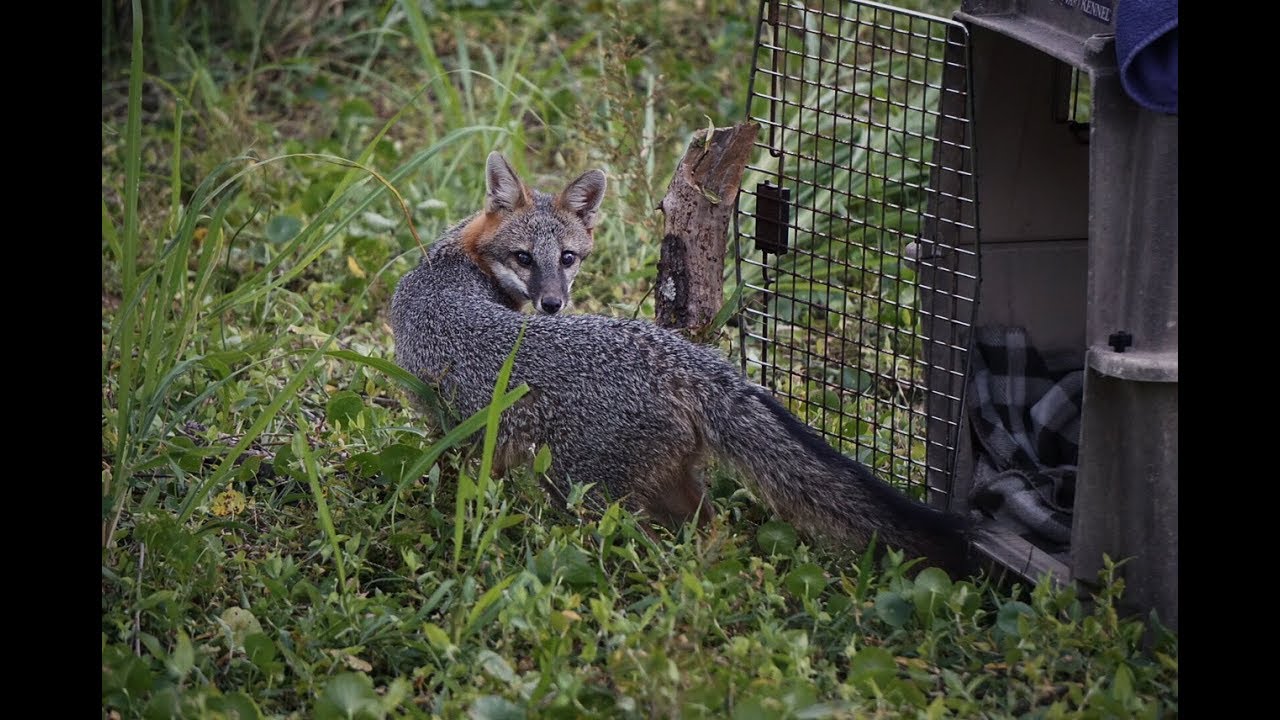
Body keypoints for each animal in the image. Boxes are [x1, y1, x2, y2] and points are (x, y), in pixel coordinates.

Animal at [389, 151, 975, 576]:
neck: (452, 263)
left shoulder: (451, 426)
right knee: (713, 529)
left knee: (640, 543)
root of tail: (679, 357)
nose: (553, 304)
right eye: (524, 258)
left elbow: (462, 478)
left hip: (589, 494)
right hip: (662, 485)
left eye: (568, 259)